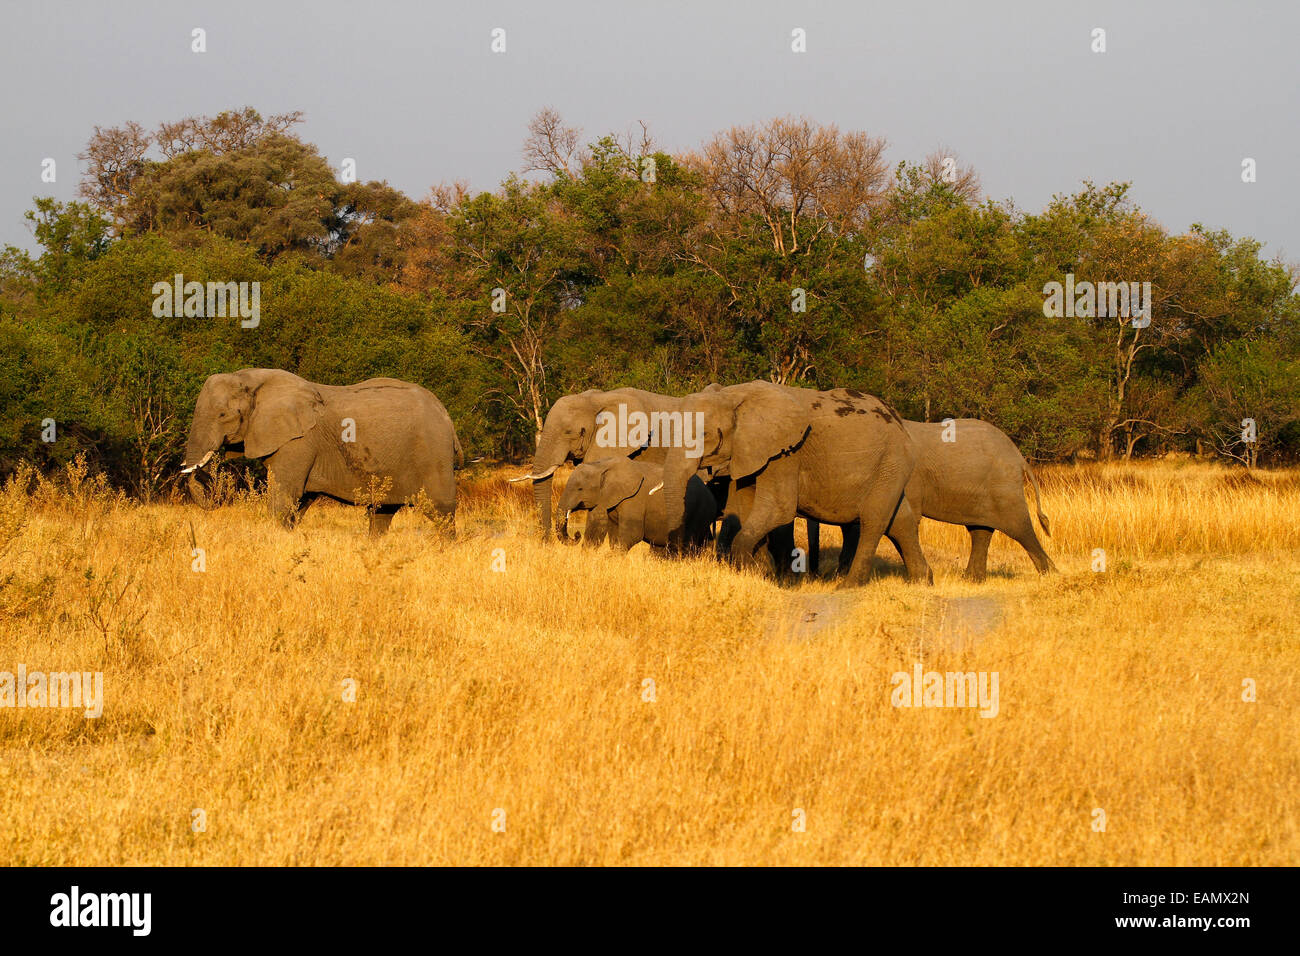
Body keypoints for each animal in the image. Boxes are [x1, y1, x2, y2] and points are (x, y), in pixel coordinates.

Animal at [180, 368, 461, 534]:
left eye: (222, 415)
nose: (208, 473)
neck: (254, 379)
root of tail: (446, 414)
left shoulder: (299, 442)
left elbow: (285, 496)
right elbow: (298, 502)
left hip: (433, 452)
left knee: (441, 510)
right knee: (381, 513)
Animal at [555, 458, 718, 551]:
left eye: (580, 489)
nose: (576, 534)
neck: (603, 466)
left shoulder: (634, 500)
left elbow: (632, 534)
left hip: (700, 511)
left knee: (690, 544)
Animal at [661, 381, 931, 586]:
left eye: (705, 435)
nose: (674, 553)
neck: (734, 394)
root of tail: (898, 421)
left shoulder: (785, 453)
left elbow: (779, 508)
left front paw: (753, 572)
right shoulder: (749, 452)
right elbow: (742, 508)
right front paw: (759, 572)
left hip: (891, 461)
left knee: (873, 520)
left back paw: (848, 585)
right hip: (890, 468)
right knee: (900, 521)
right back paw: (923, 581)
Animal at [807, 419, 1056, 579]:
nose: (815, 576)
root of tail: (1019, 457)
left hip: (1004, 487)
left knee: (1019, 527)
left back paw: (1051, 575)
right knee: (980, 530)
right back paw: (971, 580)